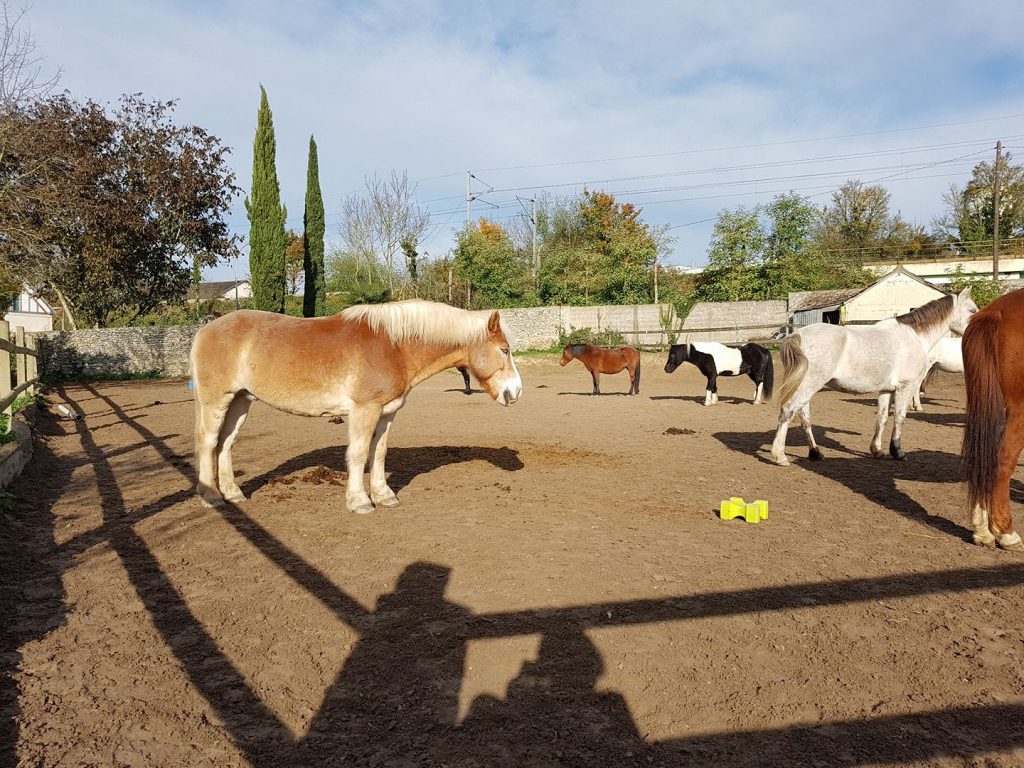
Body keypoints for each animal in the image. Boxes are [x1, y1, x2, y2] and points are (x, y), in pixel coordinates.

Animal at [190, 299, 523, 514]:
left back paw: (233, 494)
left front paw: (384, 496)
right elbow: (360, 454)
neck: (394, 346)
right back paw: (211, 497)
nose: (516, 391)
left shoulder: (387, 412)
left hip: (240, 400)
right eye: (504, 350)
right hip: (216, 400)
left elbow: (379, 453)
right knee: (208, 442)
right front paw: (360, 501)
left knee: (226, 443)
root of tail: (204, 331)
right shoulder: (365, 410)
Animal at [771, 288, 976, 466]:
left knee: (804, 417)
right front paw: (897, 451)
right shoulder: (905, 387)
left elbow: (882, 418)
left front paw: (877, 450)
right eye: (973, 310)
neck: (914, 336)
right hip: (809, 385)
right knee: (788, 411)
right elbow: (900, 417)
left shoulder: (886, 390)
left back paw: (815, 452)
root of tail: (797, 335)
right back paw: (780, 456)